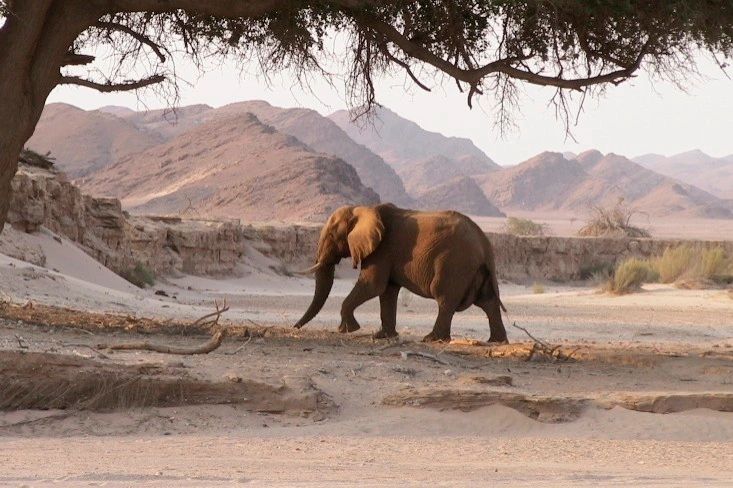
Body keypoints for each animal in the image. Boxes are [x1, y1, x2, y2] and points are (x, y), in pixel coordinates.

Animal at [294, 203, 508, 343]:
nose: (295, 327)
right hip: (475, 269)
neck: (363, 209)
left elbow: (372, 285)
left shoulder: (382, 250)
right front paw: (383, 336)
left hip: (455, 264)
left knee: (445, 298)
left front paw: (347, 330)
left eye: (331, 235)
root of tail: (484, 242)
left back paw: (432, 339)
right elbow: (387, 291)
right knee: (488, 301)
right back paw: (496, 341)